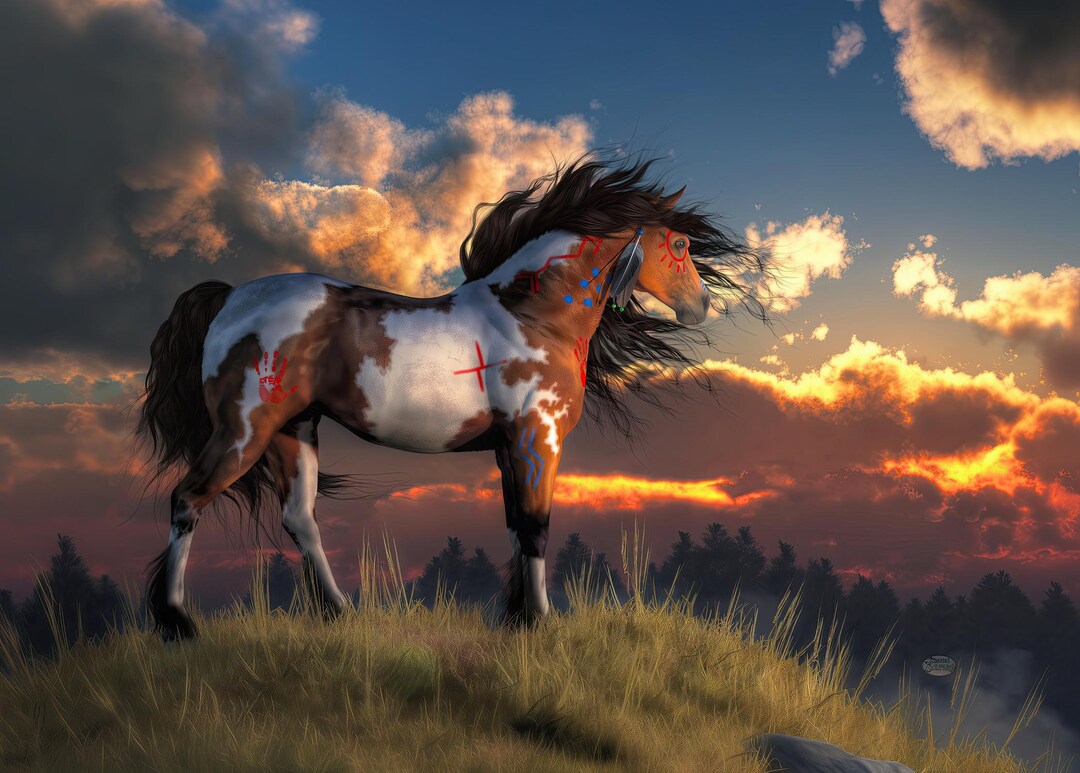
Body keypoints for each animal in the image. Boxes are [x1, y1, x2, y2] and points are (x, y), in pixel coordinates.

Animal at [136, 154, 765, 641]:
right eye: (679, 243)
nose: (699, 307)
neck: (532, 315)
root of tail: (230, 298)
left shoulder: (510, 448)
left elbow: (514, 527)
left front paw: (516, 620)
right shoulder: (538, 438)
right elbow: (536, 526)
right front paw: (539, 623)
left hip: (296, 432)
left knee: (299, 519)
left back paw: (340, 615)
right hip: (245, 430)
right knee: (187, 501)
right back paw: (177, 623)